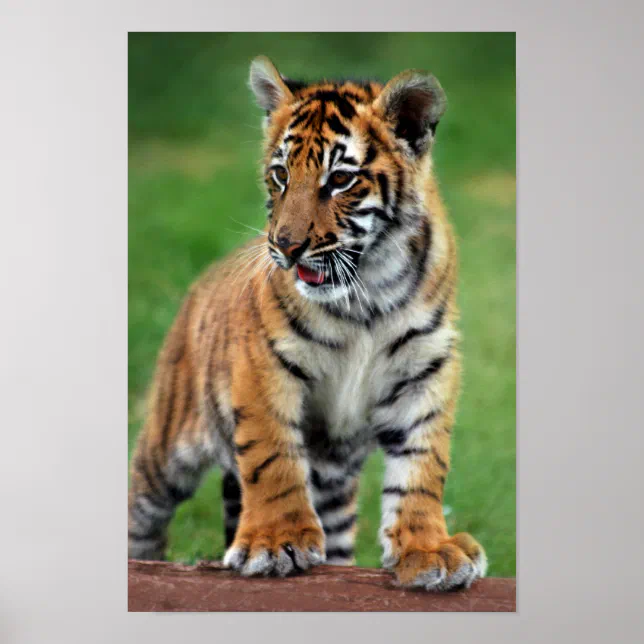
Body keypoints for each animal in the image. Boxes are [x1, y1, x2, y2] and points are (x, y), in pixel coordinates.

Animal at [127, 55, 487, 591]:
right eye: (280, 175)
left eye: (339, 181)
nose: (285, 245)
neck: (368, 294)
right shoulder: (263, 366)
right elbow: (272, 456)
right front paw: (276, 542)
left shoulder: (426, 370)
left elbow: (423, 469)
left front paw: (428, 549)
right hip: (167, 444)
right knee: (142, 507)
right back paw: (144, 563)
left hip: (334, 490)